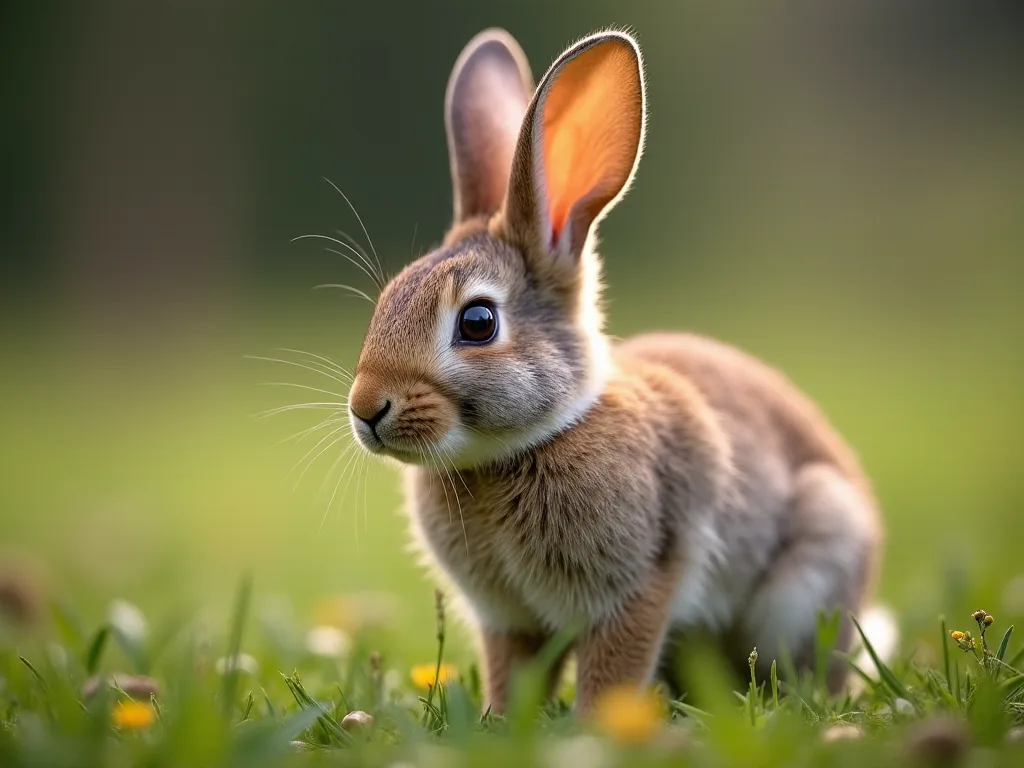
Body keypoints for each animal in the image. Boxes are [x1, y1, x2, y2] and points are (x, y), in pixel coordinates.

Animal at [346, 27, 883, 714]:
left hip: (812, 566)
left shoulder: (638, 586)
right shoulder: (510, 621)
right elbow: (513, 672)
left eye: (477, 323)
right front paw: (502, 718)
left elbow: (613, 668)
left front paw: (595, 724)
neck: (526, 446)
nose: (367, 408)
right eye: (387, 300)